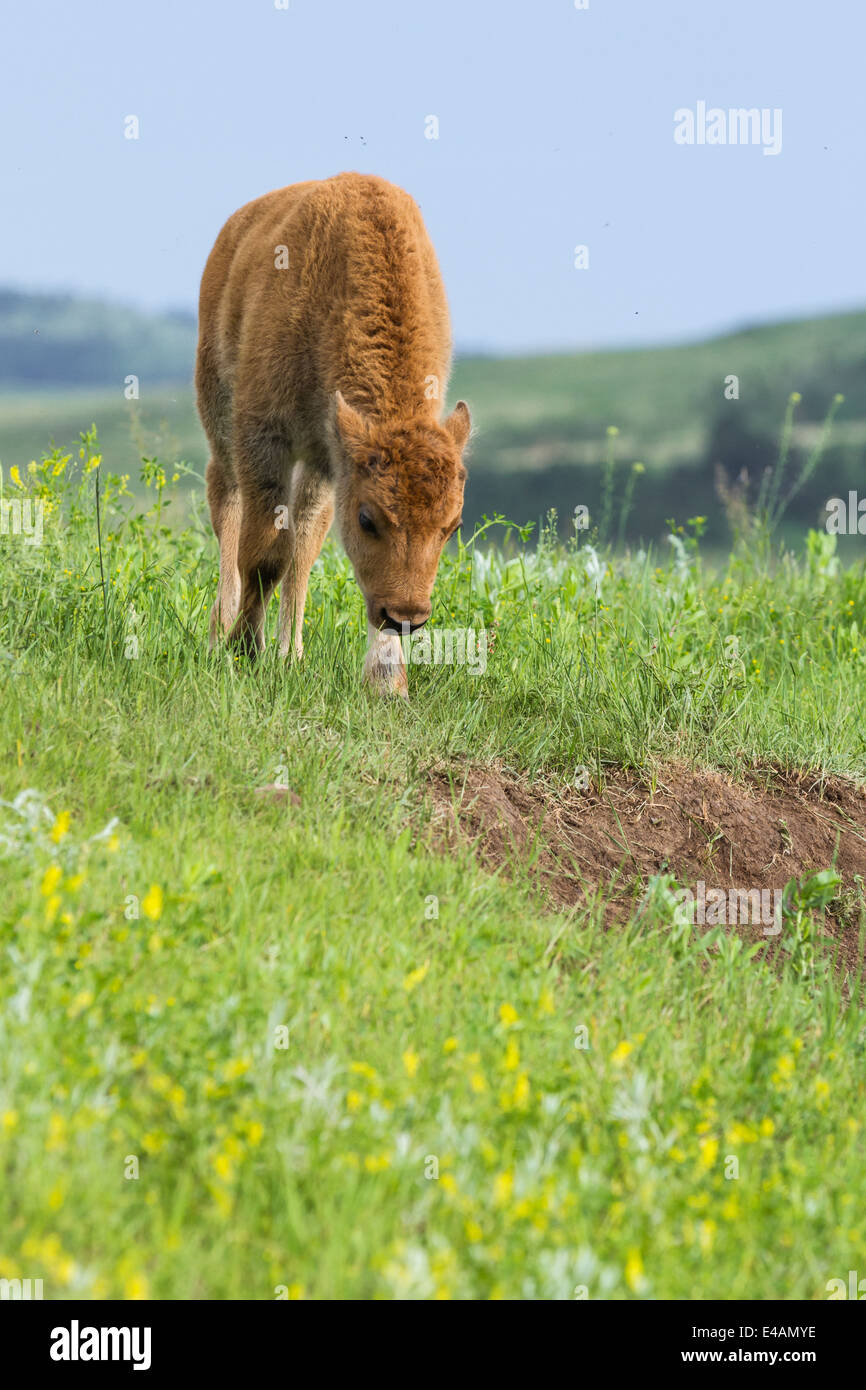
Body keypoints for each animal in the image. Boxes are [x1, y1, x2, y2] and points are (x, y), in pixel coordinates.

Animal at [195, 172, 471, 698]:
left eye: (452, 527)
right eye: (367, 519)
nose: (406, 616)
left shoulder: (332, 457)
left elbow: (300, 551)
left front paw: (388, 683)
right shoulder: (264, 437)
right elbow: (264, 553)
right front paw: (244, 650)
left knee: (304, 543)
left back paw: (292, 653)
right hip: (218, 410)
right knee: (228, 504)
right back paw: (222, 629)